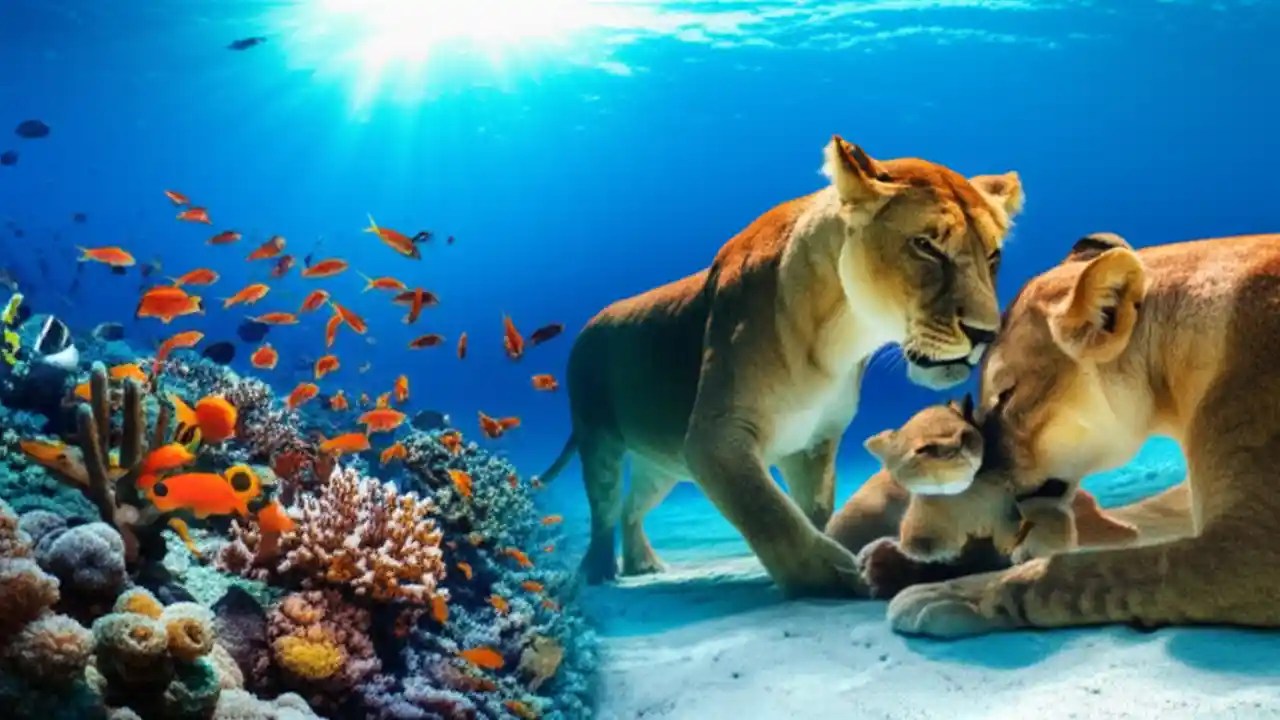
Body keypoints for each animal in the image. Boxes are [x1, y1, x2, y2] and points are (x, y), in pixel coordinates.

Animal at [536, 136, 1023, 597]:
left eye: (993, 256)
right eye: (925, 246)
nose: (985, 334)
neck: (842, 333)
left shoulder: (812, 444)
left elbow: (813, 512)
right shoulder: (714, 437)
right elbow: (772, 515)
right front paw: (837, 574)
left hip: (661, 465)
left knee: (630, 507)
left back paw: (643, 564)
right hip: (599, 439)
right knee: (604, 508)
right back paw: (597, 571)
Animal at [889, 231, 1274, 637]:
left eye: (1006, 395)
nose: (979, 469)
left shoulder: (1254, 546)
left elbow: (1082, 573)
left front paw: (952, 595)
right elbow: (1139, 517)